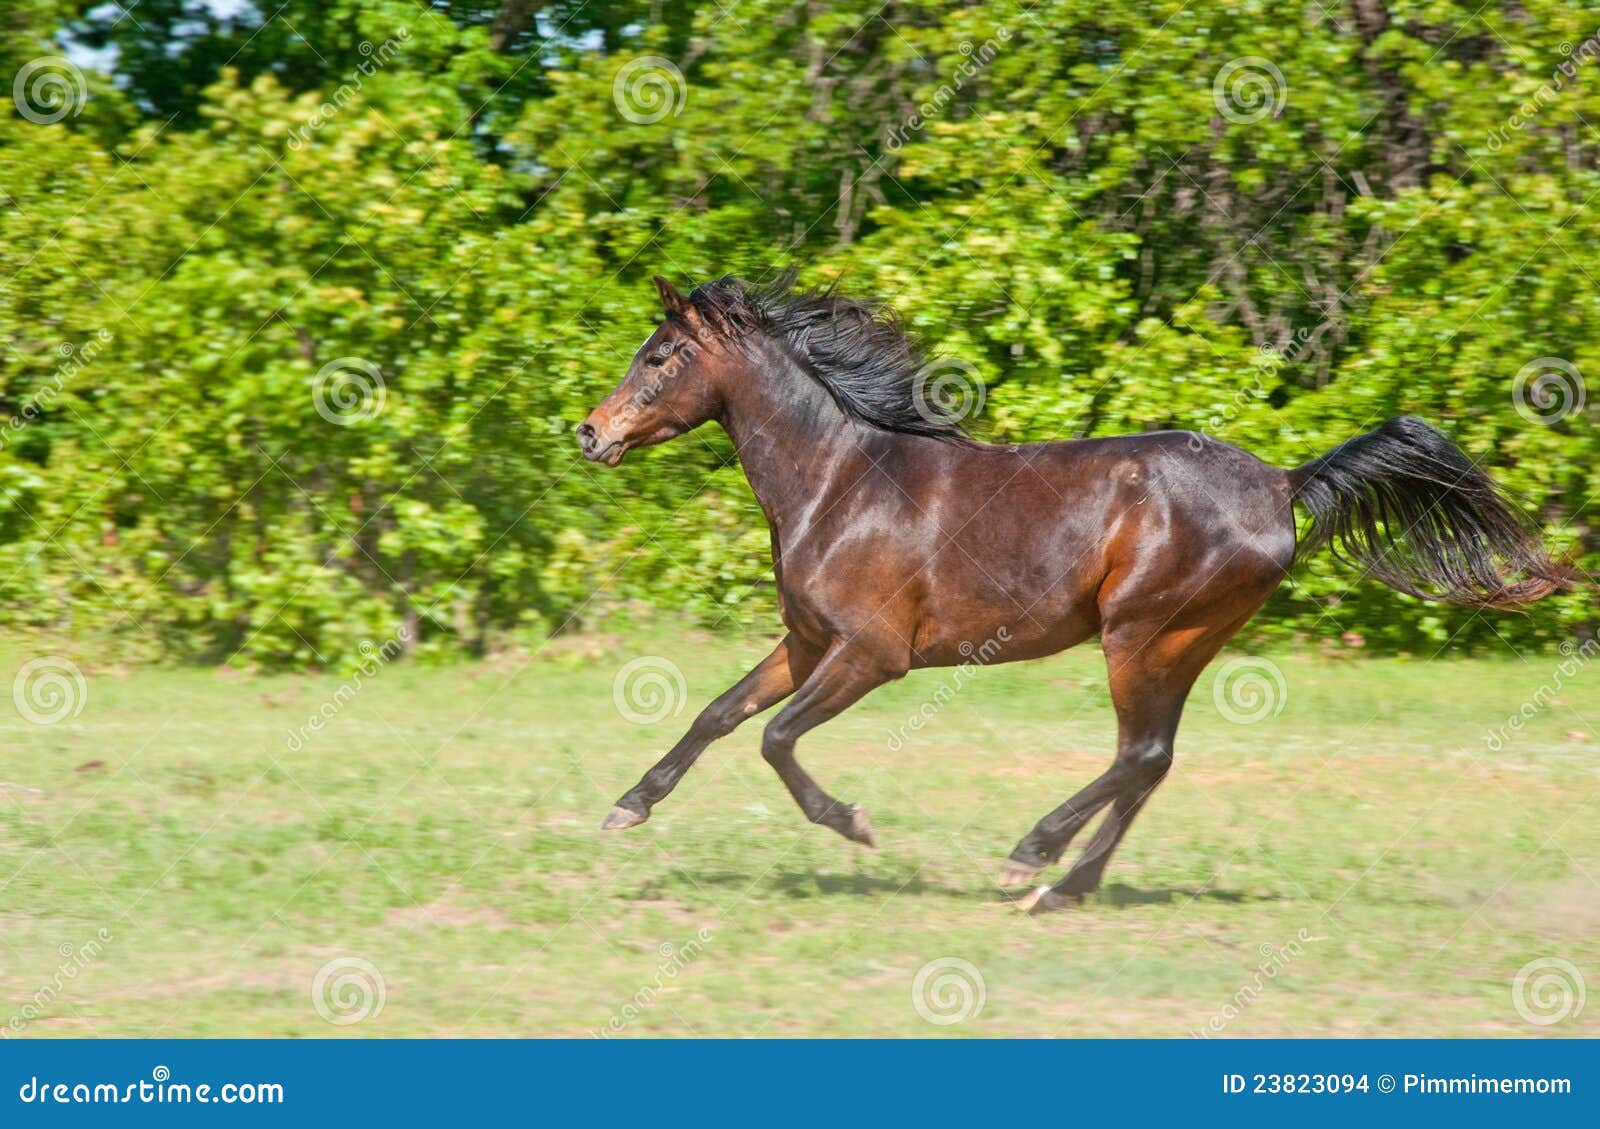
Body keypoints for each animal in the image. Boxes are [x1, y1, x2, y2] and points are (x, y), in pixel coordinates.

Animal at [577, 274, 1572, 913]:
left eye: (662, 354)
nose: (590, 434)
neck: (840, 483)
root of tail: (1284, 483)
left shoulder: (871, 656)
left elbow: (776, 738)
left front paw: (854, 825)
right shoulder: (810, 644)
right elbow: (718, 713)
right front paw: (627, 807)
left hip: (1142, 635)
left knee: (1140, 755)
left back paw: (1031, 859)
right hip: (1181, 644)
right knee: (1151, 759)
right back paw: (1064, 887)